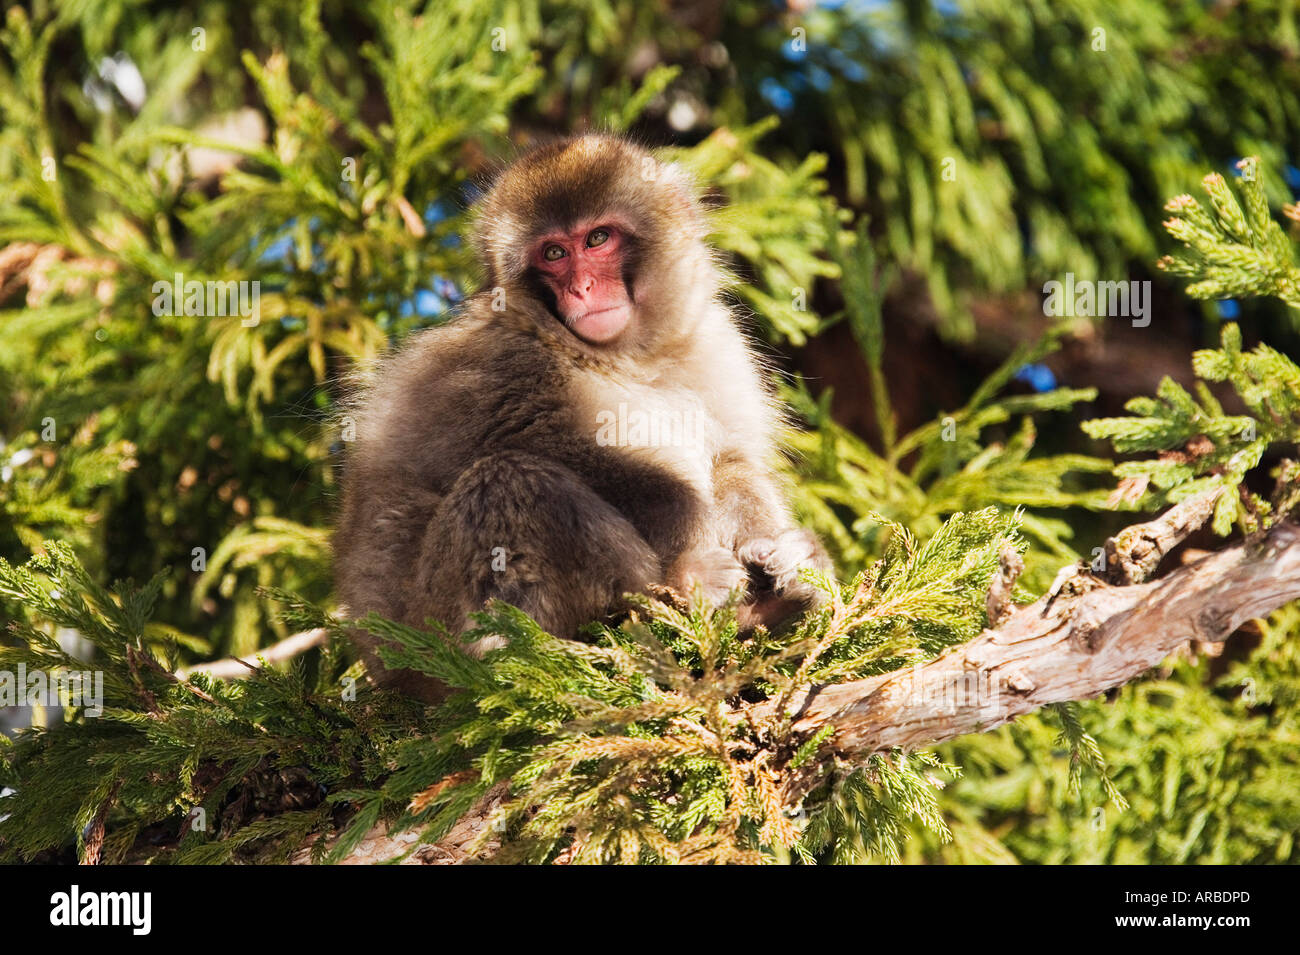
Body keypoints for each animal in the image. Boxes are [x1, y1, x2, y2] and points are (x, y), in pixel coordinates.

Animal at [334, 133, 830, 702]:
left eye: (597, 239)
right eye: (553, 253)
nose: (583, 289)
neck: (628, 357)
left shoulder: (716, 342)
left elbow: (732, 460)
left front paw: (785, 559)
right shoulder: (495, 362)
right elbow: (549, 450)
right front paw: (693, 555)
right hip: (432, 630)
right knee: (508, 480)